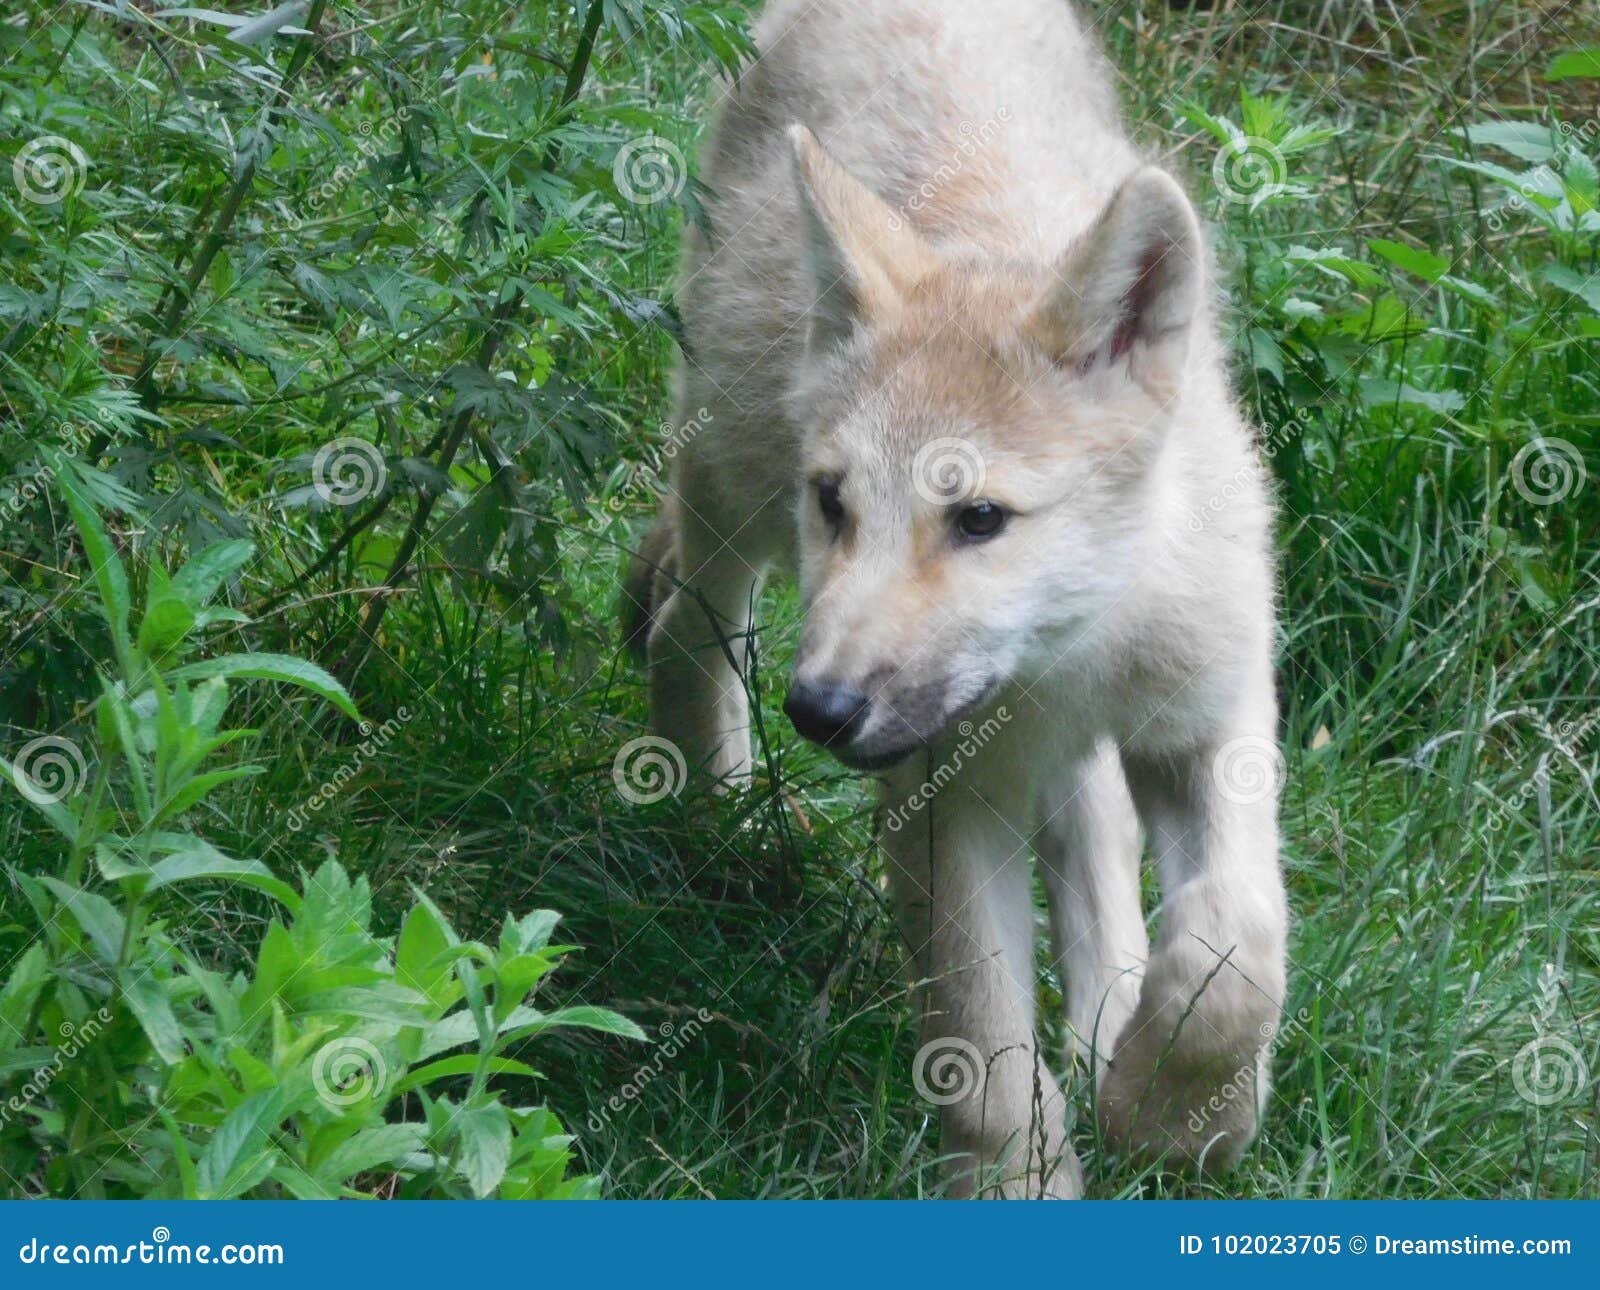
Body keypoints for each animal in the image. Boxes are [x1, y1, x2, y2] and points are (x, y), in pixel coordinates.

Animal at [622, 0, 1288, 1198]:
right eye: (836, 502)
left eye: (978, 518)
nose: (821, 712)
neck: (1075, 658)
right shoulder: (944, 796)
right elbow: (983, 1060)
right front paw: (1023, 1183)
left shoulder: (1210, 723)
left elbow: (1232, 955)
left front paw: (1177, 1118)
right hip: (732, 488)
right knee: (685, 629)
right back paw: (716, 816)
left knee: (1101, 833)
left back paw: (1109, 1020)